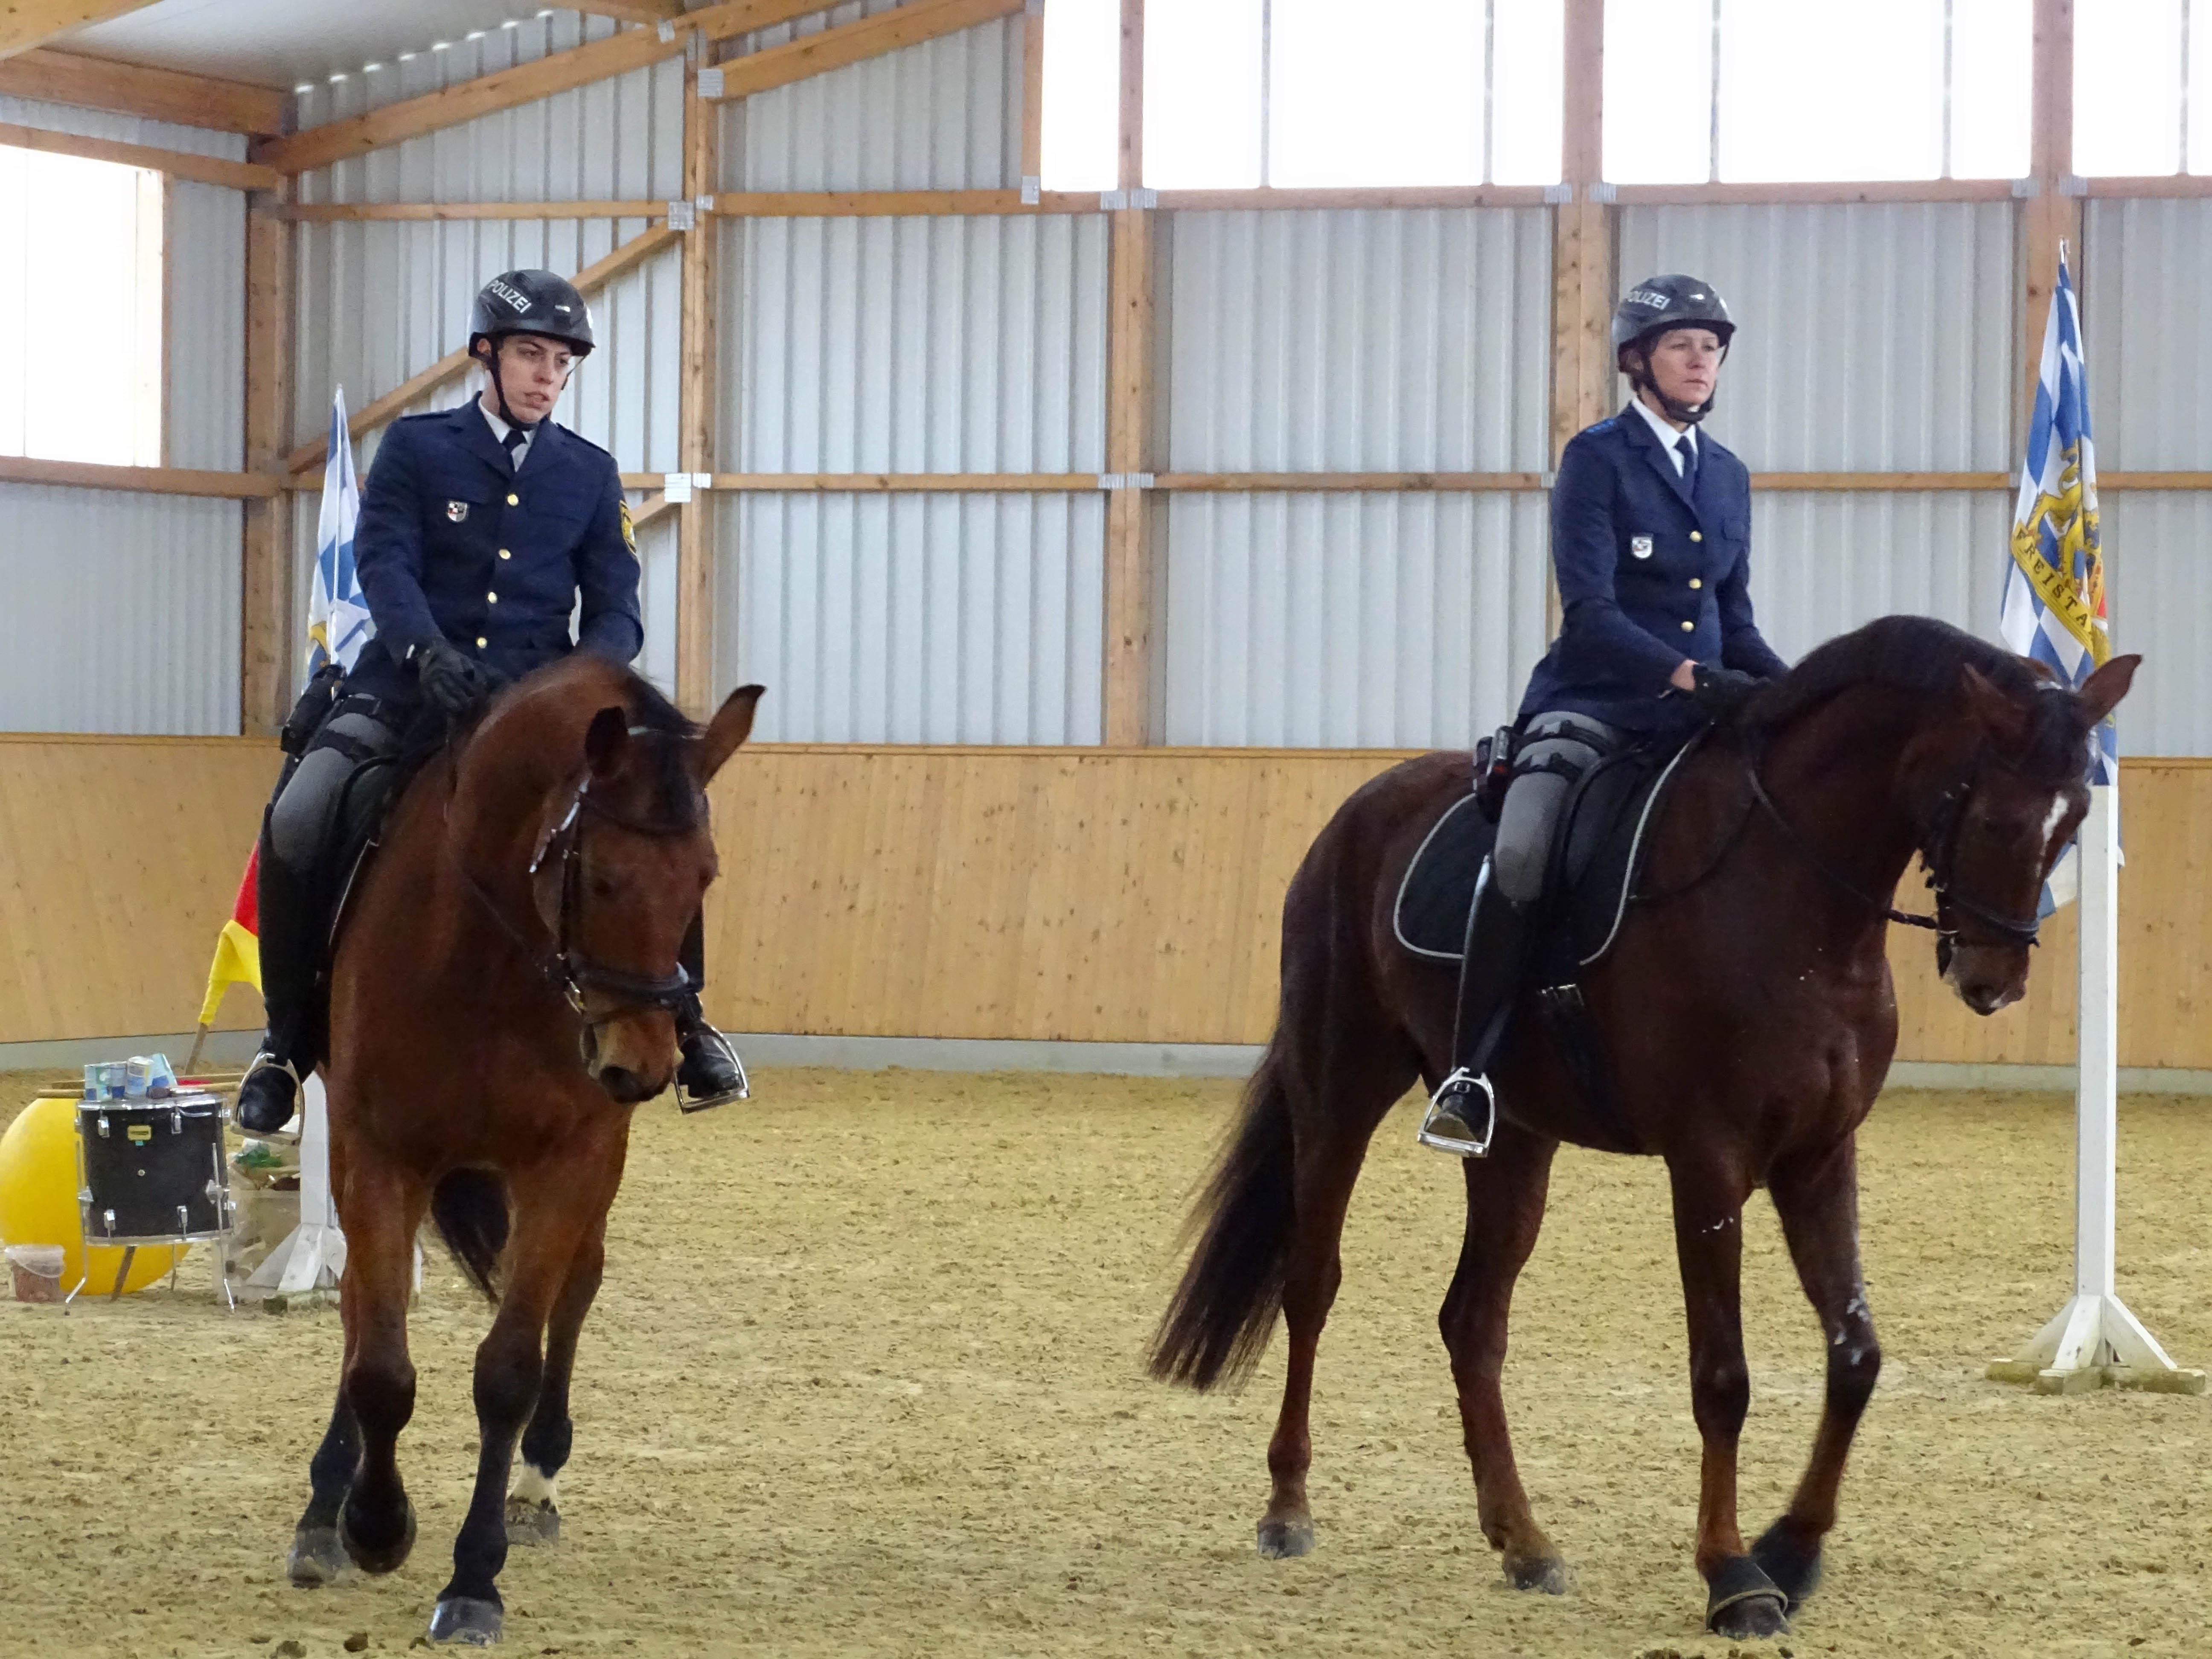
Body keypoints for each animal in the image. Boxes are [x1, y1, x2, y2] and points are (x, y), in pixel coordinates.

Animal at [278, 653, 763, 1647]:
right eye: (603, 877)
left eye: (703, 877)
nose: (640, 1064)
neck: (490, 957)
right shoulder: (377, 1150)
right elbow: (377, 1355)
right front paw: (371, 1524)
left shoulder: (568, 1162)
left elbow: (510, 1368)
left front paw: (474, 1580)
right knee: (360, 1312)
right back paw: (324, 1511)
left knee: (577, 1289)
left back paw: (538, 1481)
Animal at [1149, 615, 2137, 1639]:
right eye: (1996, 820)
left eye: (2073, 820)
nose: (1991, 983)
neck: (1799, 904)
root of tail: (1359, 810)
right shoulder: (1707, 1160)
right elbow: (1723, 1376)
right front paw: (1733, 1575)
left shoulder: (1819, 1156)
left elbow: (1856, 1354)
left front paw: (1793, 1550)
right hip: (1337, 1086)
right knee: (1311, 1284)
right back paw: (1287, 1508)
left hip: (1515, 1141)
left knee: (1472, 1320)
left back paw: (1524, 1542)